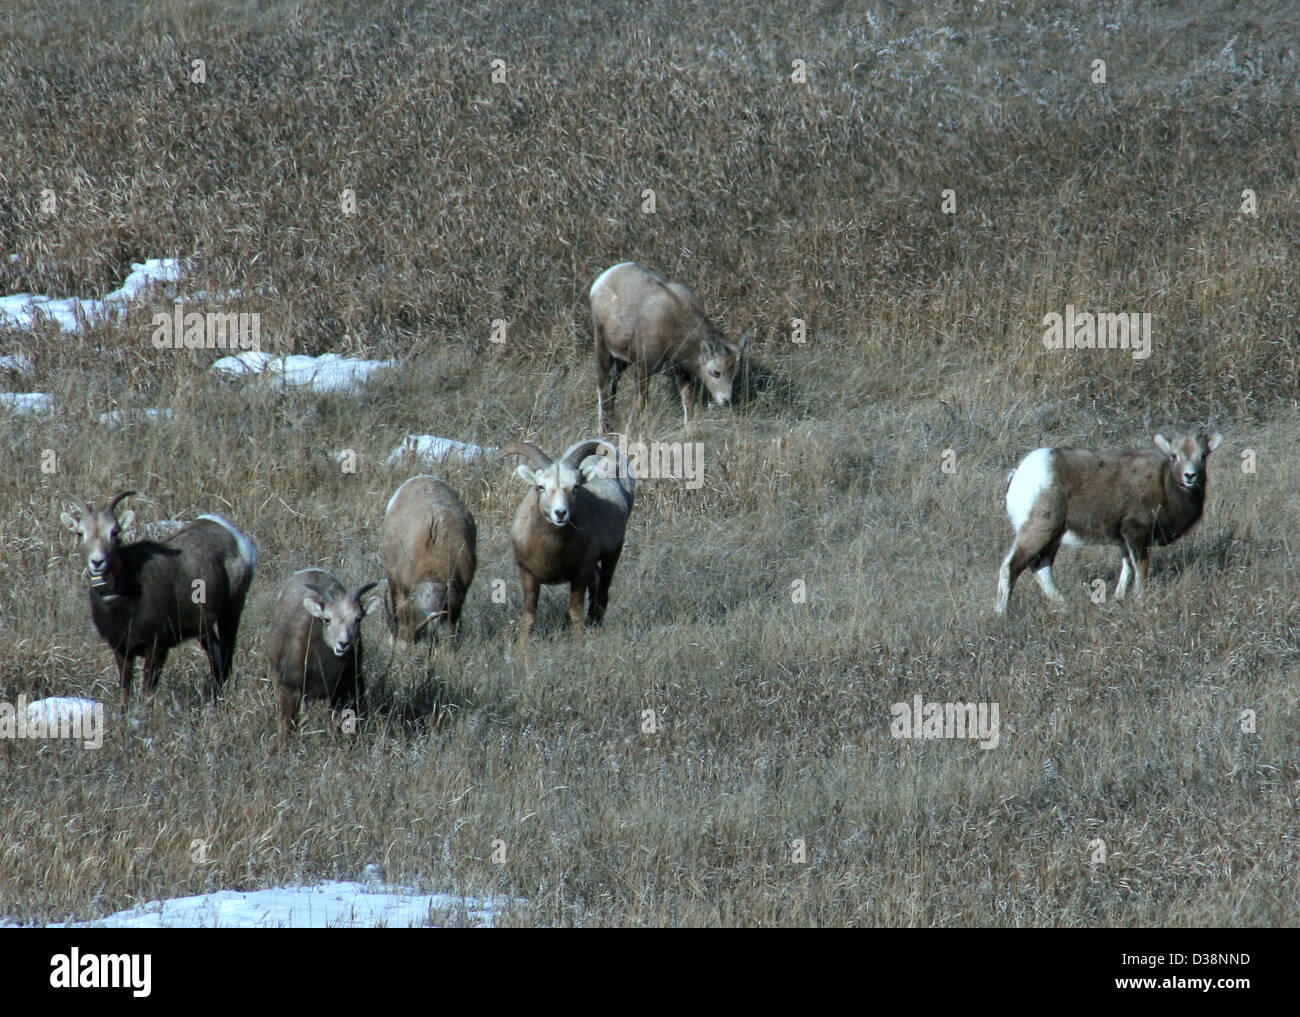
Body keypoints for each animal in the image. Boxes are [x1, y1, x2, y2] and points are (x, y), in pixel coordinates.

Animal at [60, 491, 257, 715]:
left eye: (115, 532)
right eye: (80, 533)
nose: (97, 562)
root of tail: (230, 533)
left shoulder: (157, 648)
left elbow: (147, 695)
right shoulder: (122, 650)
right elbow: (125, 695)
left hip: (231, 613)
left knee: (227, 657)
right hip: (203, 629)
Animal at [267, 568, 380, 738]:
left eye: (358, 618)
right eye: (327, 619)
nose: (343, 644)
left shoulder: (338, 693)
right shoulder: (290, 688)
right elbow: (286, 726)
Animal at [501, 439, 636, 639]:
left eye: (576, 487)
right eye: (540, 487)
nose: (560, 513)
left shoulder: (580, 573)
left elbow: (575, 613)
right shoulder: (527, 574)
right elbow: (529, 617)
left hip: (612, 556)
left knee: (603, 595)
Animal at [590, 261, 748, 432]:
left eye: (734, 372)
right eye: (716, 372)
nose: (726, 400)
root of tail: (601, 280)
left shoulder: (681, 371)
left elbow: (687, 399)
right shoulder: (643, 367)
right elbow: (641, 401)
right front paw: (630, 430)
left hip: (622, 360)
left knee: (612, 385)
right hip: (603, 347)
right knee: (602, 386)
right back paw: (603, 428)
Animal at [995, 430, 1222, 614]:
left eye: (1203, 456)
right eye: (1174, 455)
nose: (1190, 476)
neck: (1165, 485)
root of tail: (1018, 474)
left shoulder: (1125, 541)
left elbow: (1127, 568)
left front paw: (1118, 598)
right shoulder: (1136, 534)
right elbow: (1140, 568)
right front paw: (1140, 599)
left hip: (1053, 538)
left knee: (1041, 569)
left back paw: (1064, 605)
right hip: (1038, 532)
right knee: (1010, 567)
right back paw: (1002, 613)